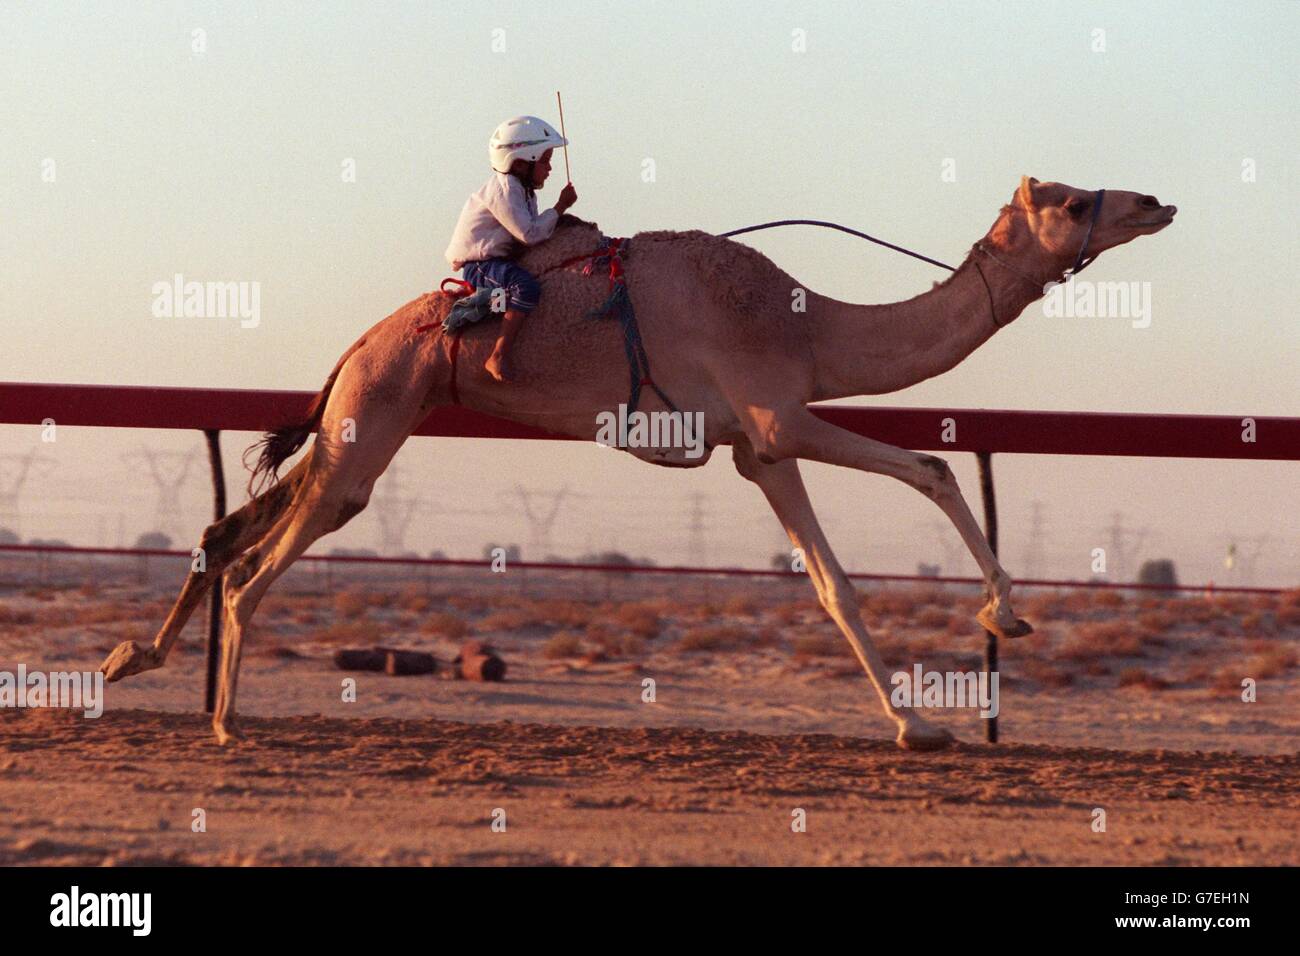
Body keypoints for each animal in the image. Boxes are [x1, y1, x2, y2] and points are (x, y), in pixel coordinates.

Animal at [101, 176, 1176, 748]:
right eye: (1074, 199)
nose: (1155, 200)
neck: (809, 326)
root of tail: (353, 349)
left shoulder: (754, 452)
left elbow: (833, 582)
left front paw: (920, 721)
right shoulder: (779, 417)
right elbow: (933, 472)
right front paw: (1000, 623)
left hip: (359, 418)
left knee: (231, 525)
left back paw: (133, 659)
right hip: (379, 409)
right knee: (262, 553)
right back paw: (226, 720)